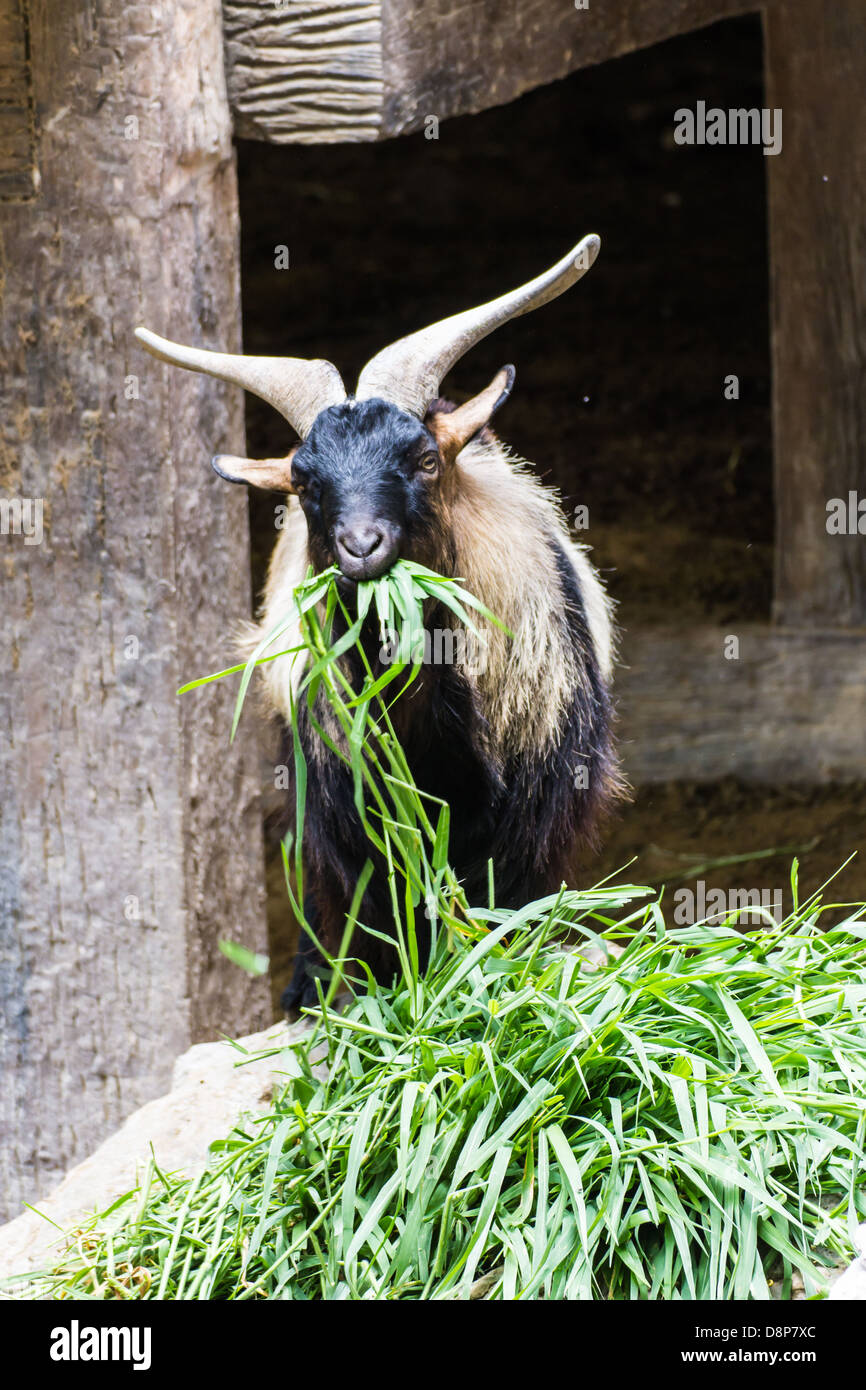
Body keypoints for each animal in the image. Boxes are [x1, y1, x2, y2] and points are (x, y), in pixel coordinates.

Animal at [136, 235, 624, 1011]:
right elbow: (365, 908)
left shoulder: (540, 801)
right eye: (304, 482)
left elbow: (508, 903)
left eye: (424, 459)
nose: (361, 545)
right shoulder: (340, 811)